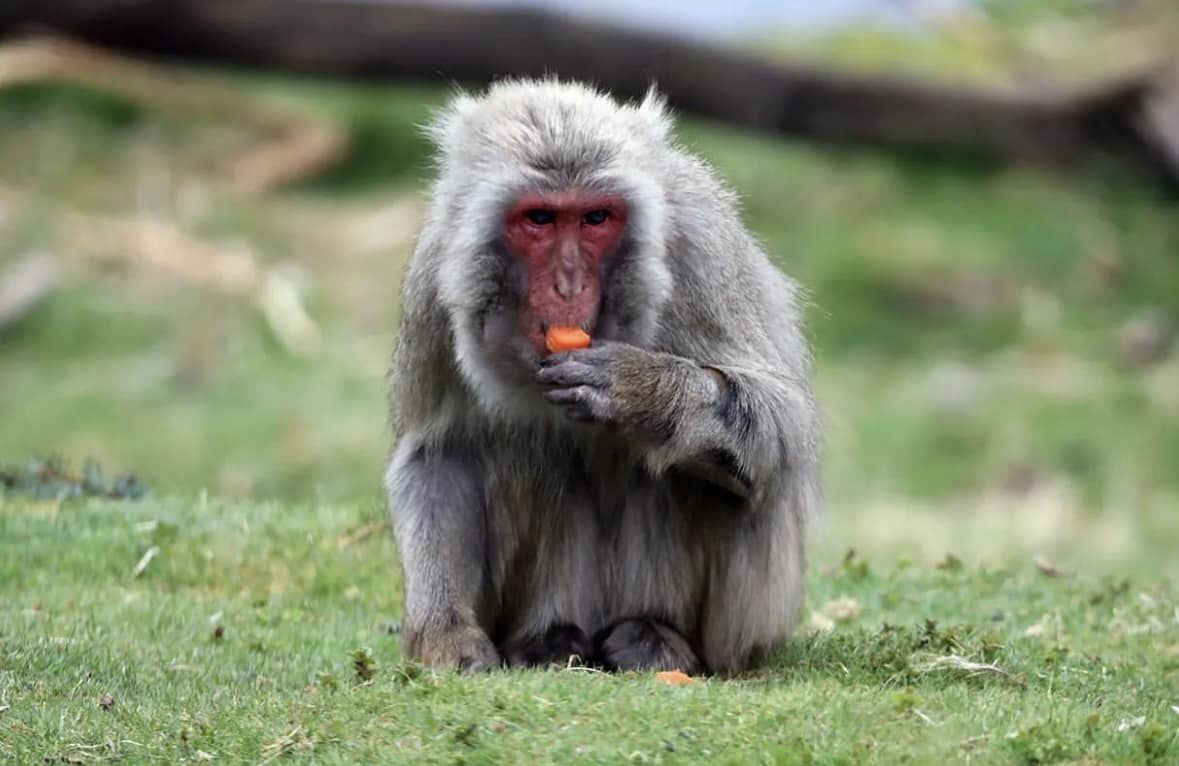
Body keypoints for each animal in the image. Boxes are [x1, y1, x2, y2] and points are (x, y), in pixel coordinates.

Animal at [384, 78, 820, 675]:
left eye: (595, 219)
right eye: (540, 219)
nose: (568, 285)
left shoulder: (701, 245)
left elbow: (780, 423)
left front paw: (643, 391)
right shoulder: (436, 272)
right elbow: (441, 454)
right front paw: (446, 635)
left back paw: (651, 633)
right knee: (523, 448)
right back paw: (549, 638)